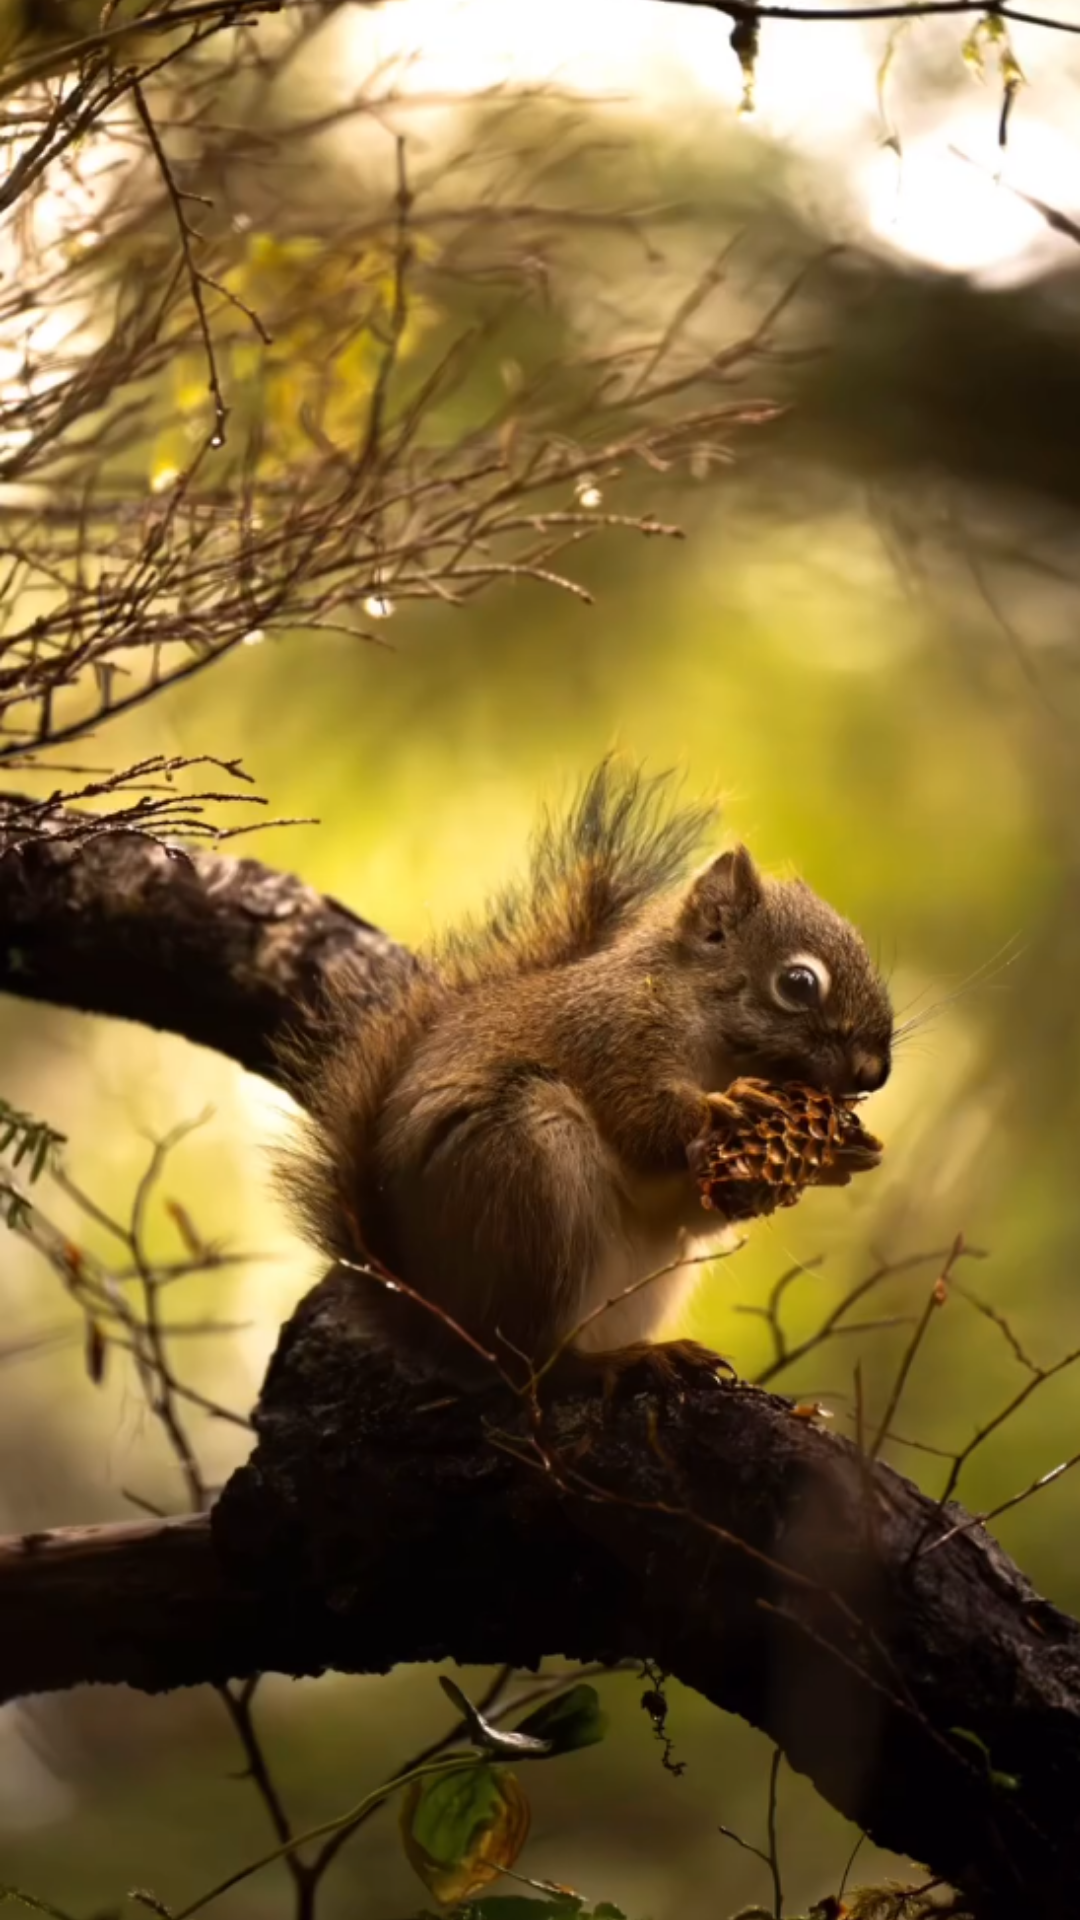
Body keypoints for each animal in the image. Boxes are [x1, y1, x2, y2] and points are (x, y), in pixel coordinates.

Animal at [280, 762, 893, 1387]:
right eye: (798, 983)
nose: (875, 1071)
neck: (707, 1029)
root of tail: (438, 1325)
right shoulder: (613, 1038)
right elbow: (640, 1118)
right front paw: (726, 1107)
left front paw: (841, 1156)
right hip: (530, 1182)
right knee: (530, 1361)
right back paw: (617, 1360)